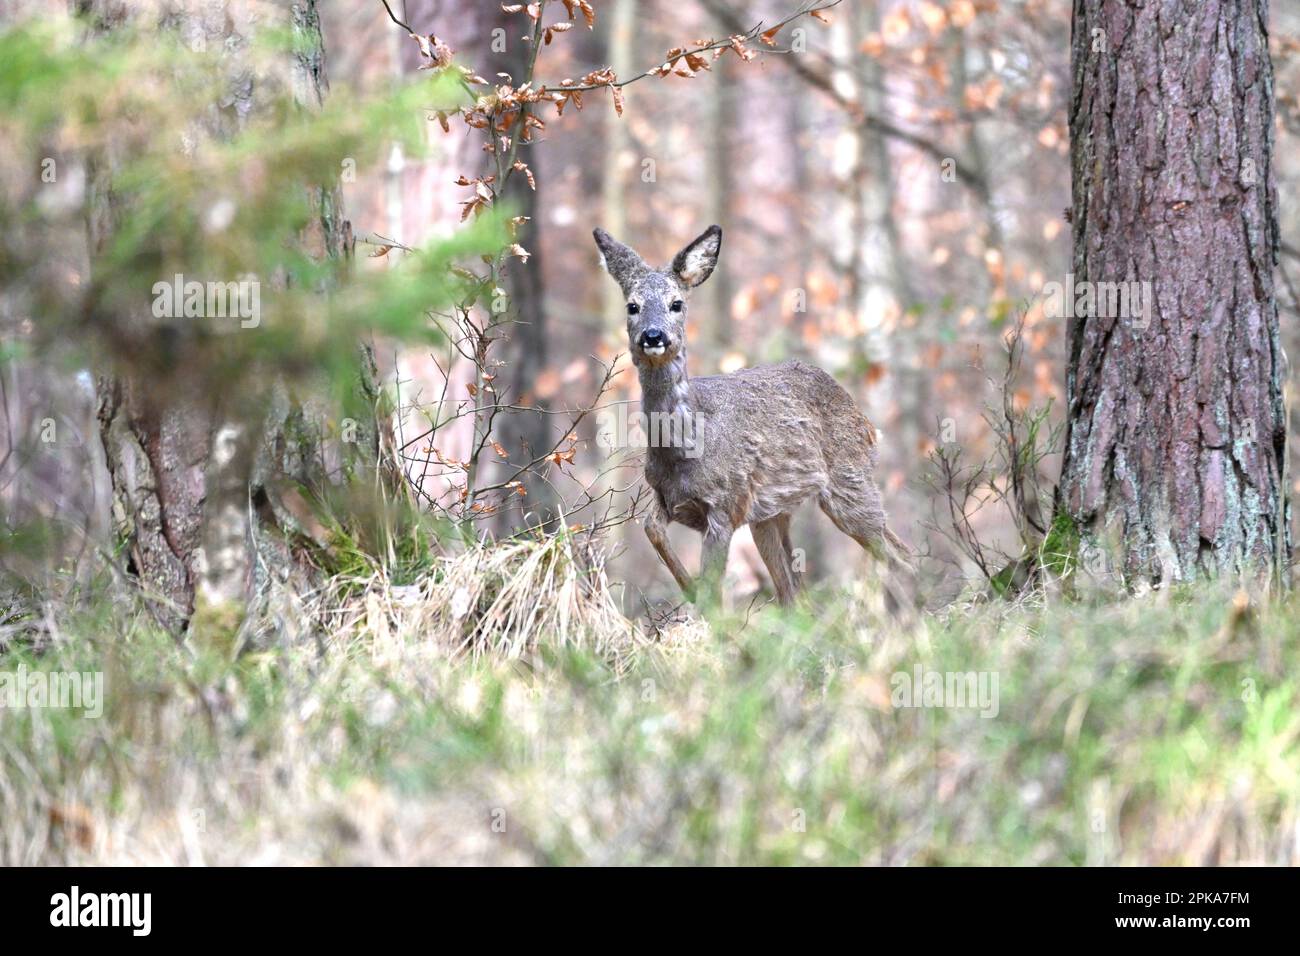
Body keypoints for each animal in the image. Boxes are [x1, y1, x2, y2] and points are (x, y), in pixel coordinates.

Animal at [594, 224, 910, 608]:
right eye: (633, 306)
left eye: (676, 304)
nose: (653, 336)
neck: (684, 449)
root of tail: (866, 422)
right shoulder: (666, 497)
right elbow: (651, 529)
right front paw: (689, 589)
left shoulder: (727, 505)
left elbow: (713, 591)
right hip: (773, 514)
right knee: (795, 591)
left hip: (849, 481)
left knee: (898, 555)